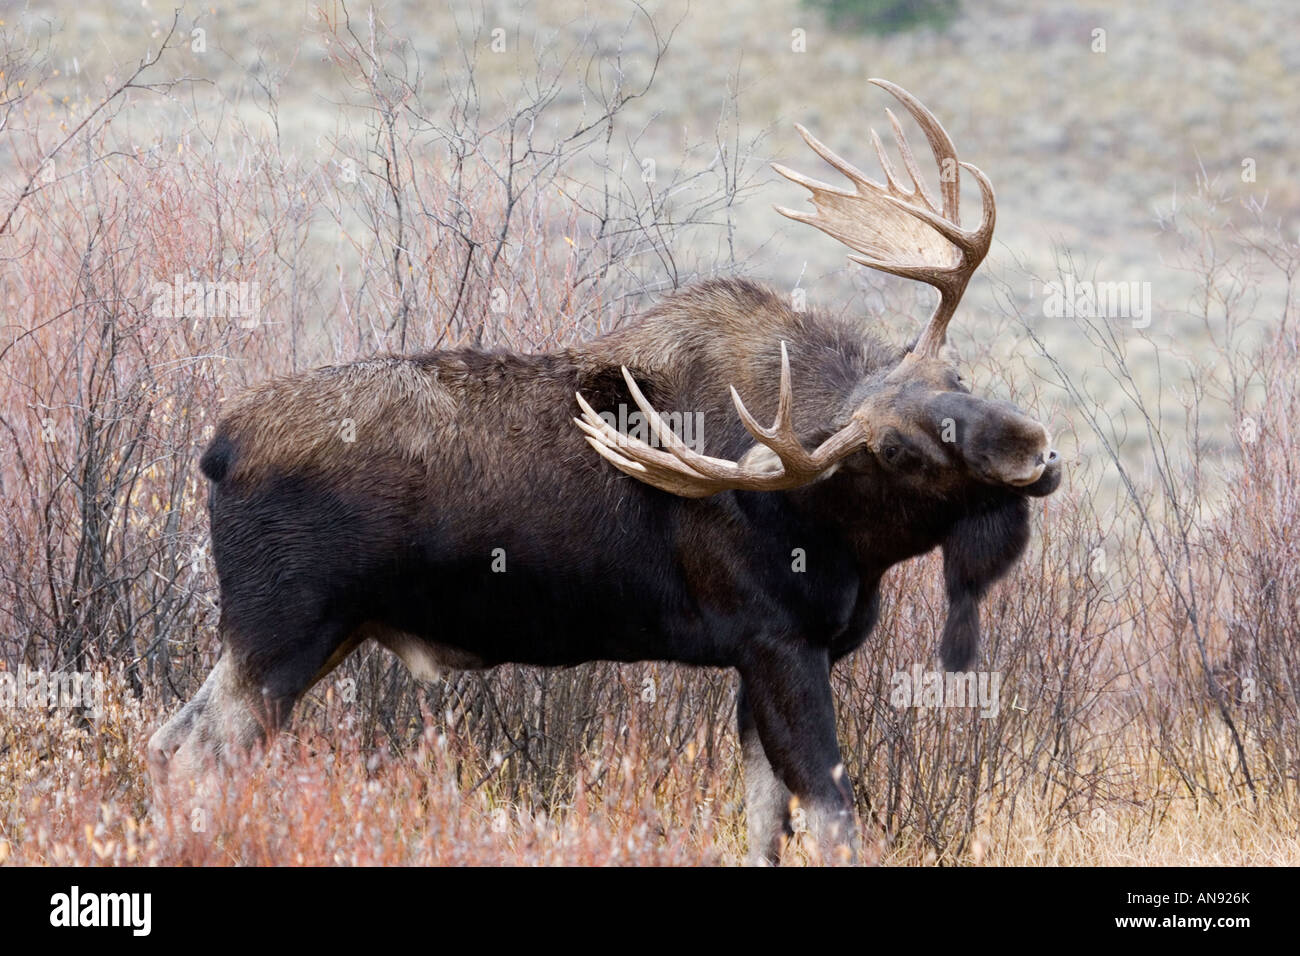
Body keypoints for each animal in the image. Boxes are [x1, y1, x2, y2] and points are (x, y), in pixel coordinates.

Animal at [147, 80, 1061, 864]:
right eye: (898, 449)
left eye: (957, 378)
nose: (1040, 450)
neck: (843, 536)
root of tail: (217, 450)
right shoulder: (779, 640)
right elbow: (834, 817)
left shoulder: (766, 661)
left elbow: (763, 823)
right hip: (282, 625)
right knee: (198, 753)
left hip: (311, 632)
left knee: (168, 737)